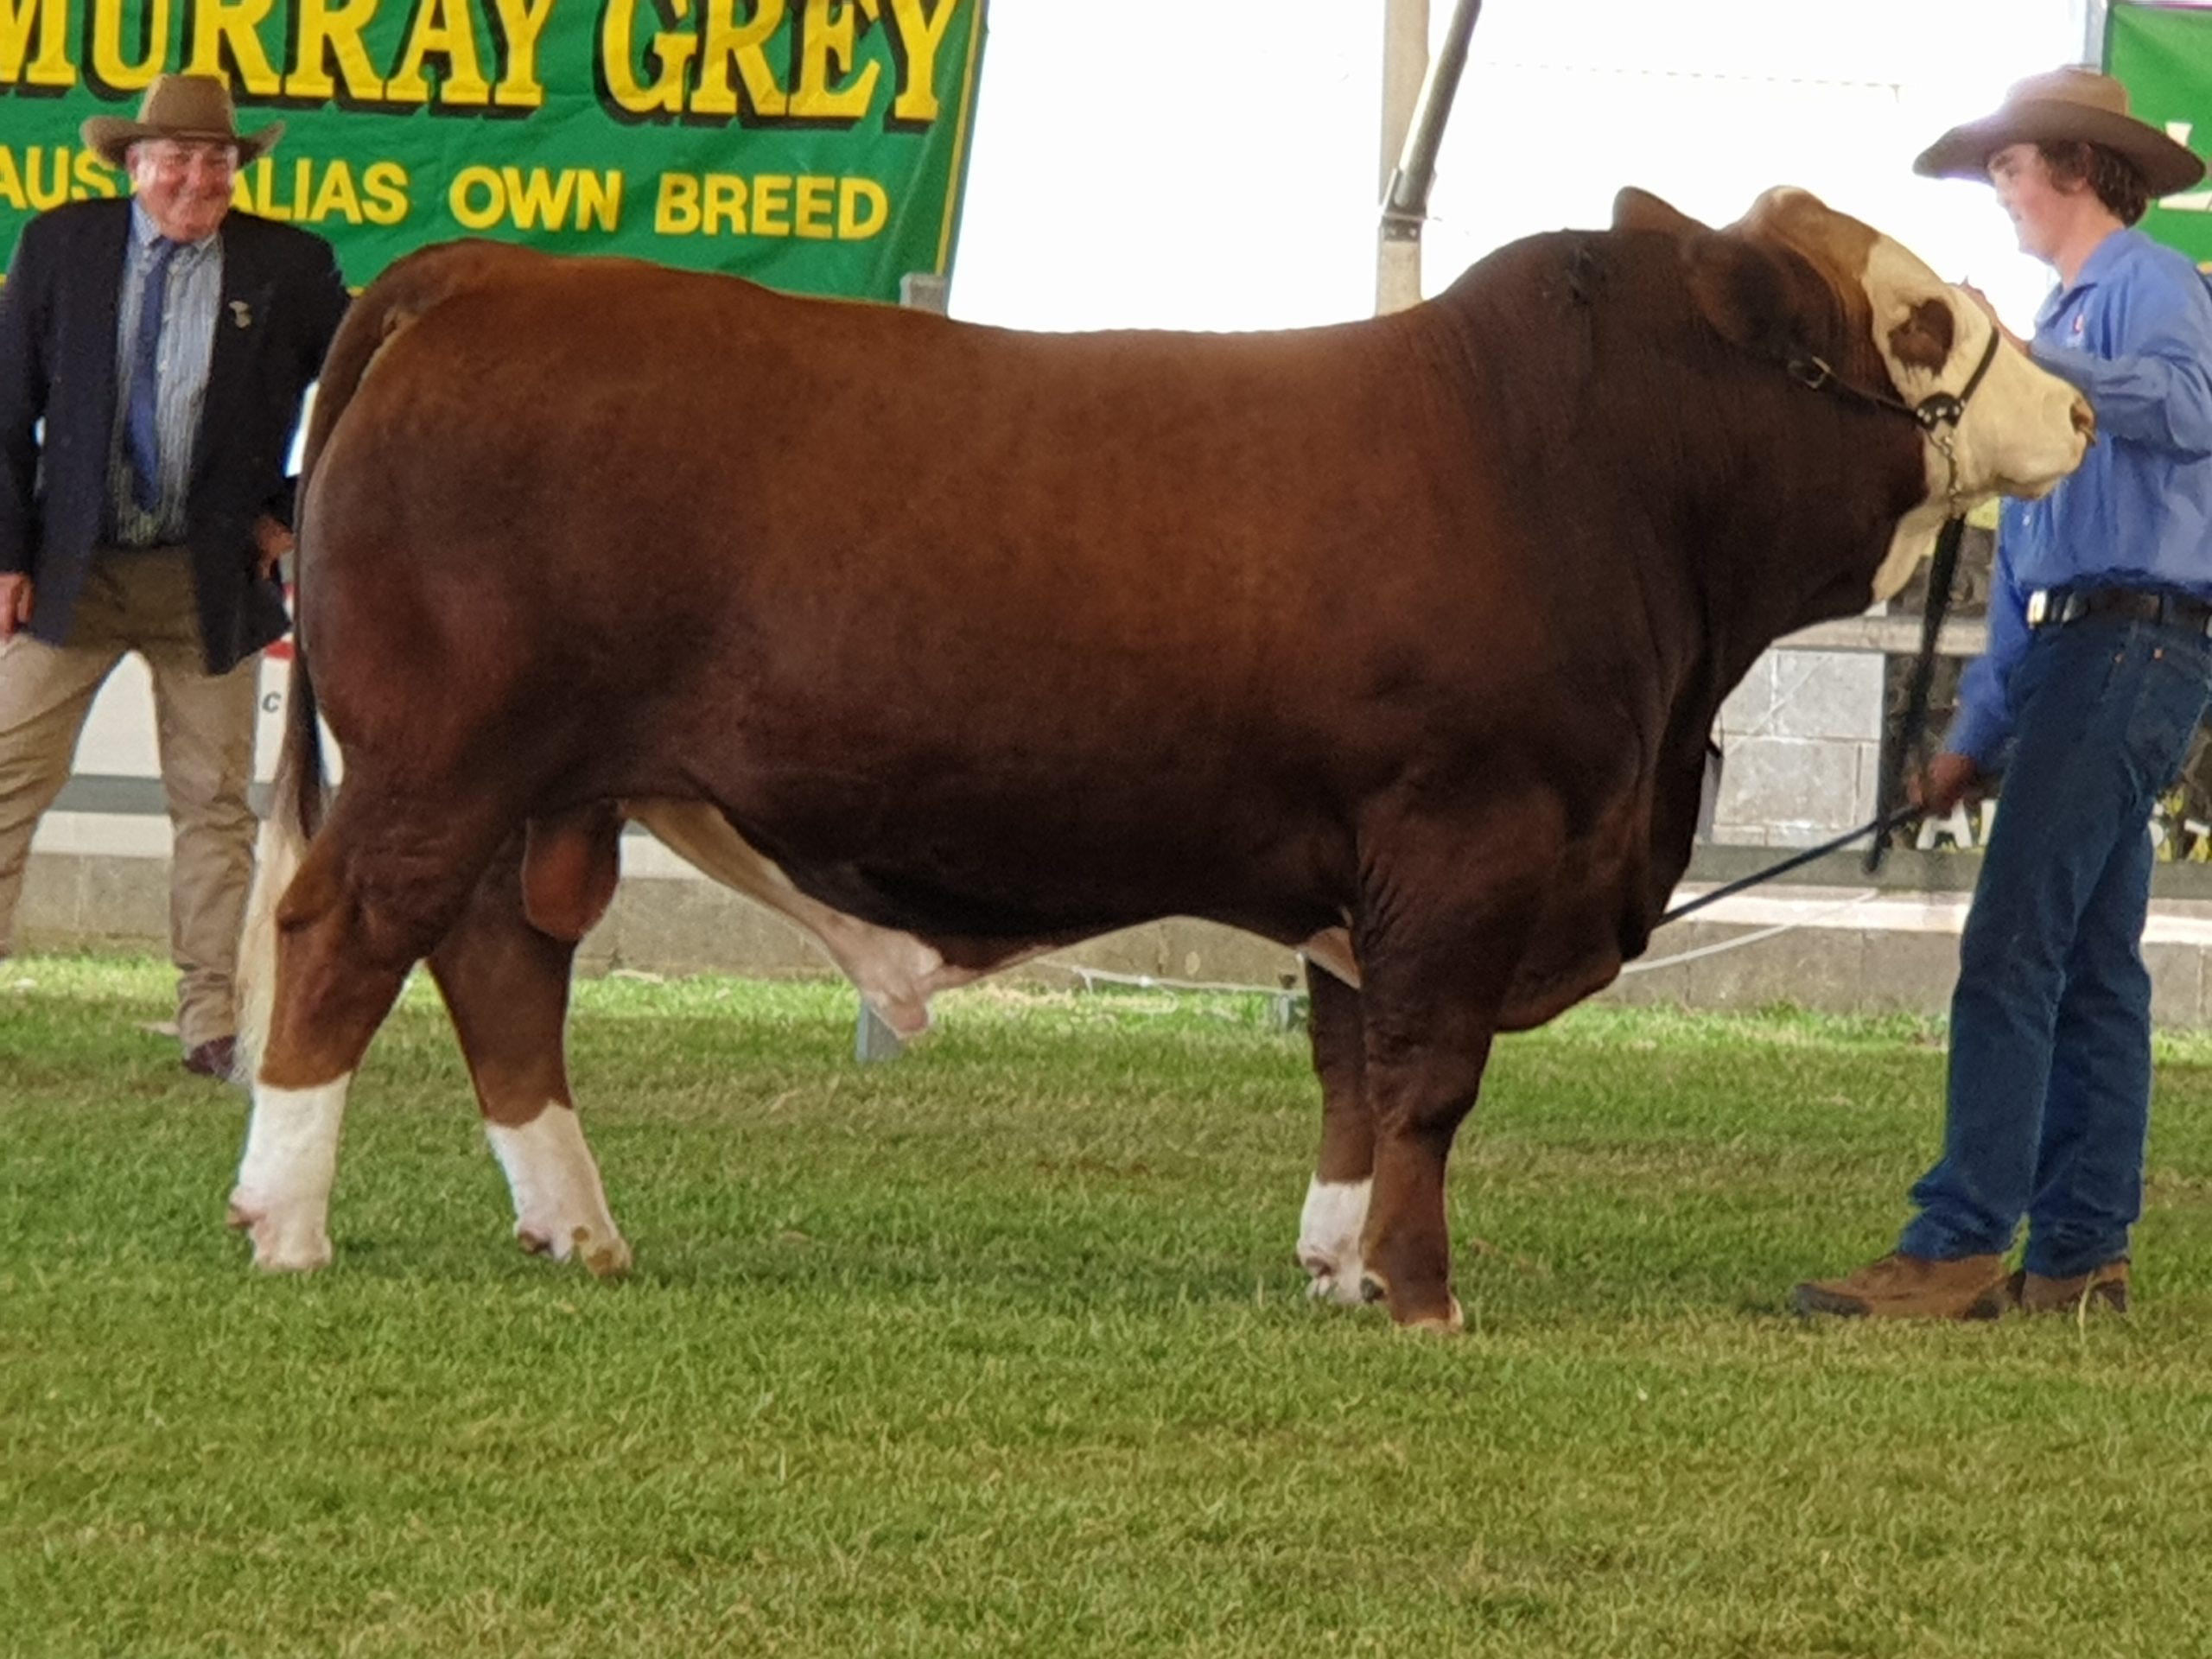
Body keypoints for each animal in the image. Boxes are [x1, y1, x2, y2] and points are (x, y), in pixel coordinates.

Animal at [226, 185, 2091, 1330]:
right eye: (1918, 323)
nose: (2075, 406)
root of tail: (504, 271)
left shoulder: (1367, 862)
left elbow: (1350, 1072)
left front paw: (1341, 1272)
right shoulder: (1467, 833)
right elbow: (1426, 1076)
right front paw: (1425, 1297)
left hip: (541, 791)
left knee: (498, 966)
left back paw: (577, 1227)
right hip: (443, 760)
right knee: (342, 940)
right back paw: (285, 1223)